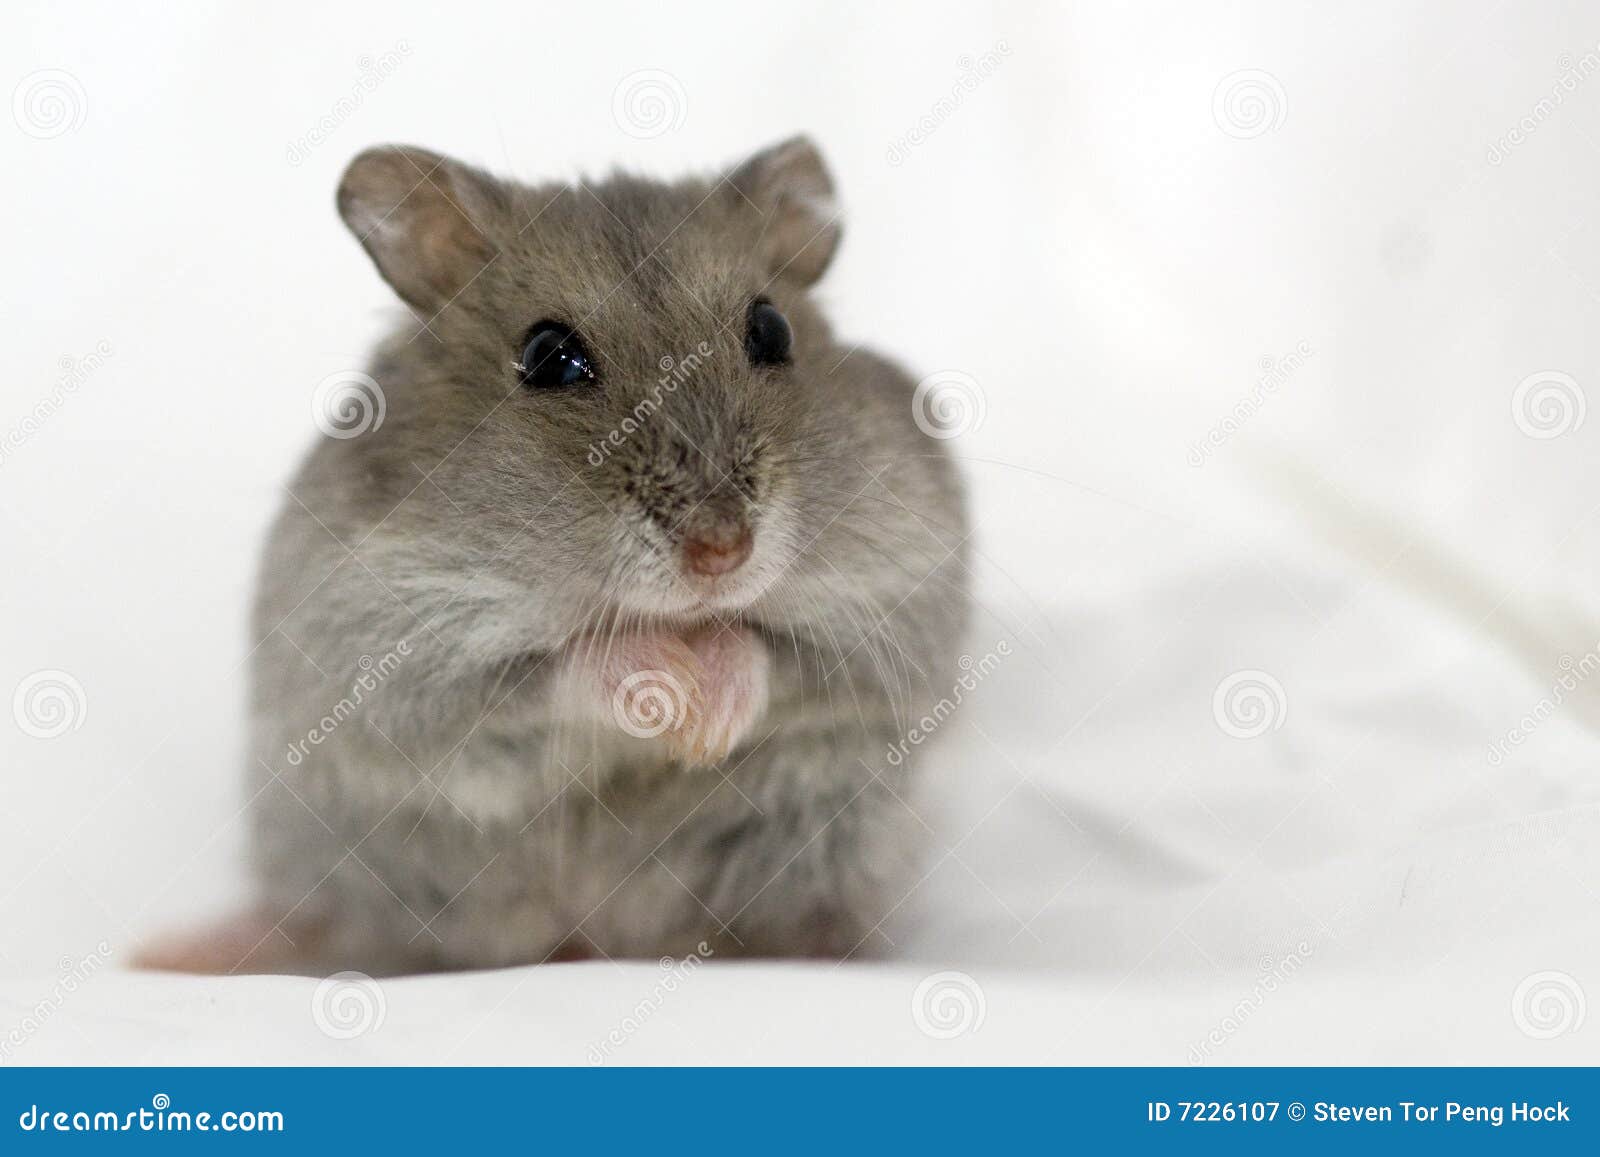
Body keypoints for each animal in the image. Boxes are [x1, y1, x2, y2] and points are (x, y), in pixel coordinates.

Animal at [139, 137, 971, 974]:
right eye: (547, 356)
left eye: (772, 330)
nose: (721, 551)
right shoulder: (384, 654)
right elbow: (562, 664)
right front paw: (677, 698)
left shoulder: (907, 599)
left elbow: (781, 650)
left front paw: (704, 724)